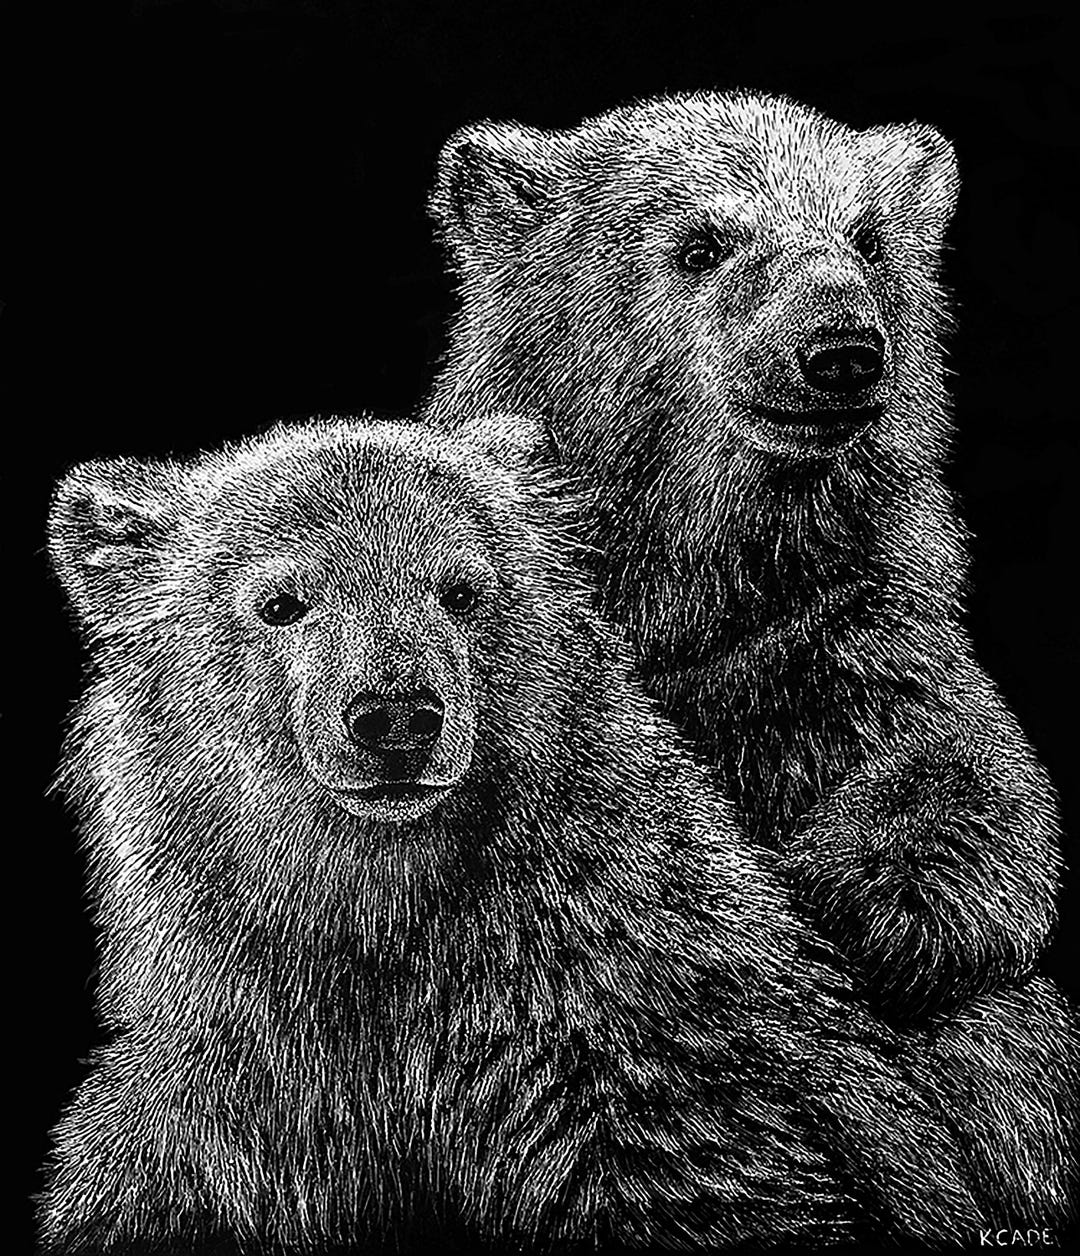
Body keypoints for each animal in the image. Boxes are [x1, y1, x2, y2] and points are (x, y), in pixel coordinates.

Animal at [423, 90, 1078, 1224]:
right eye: (703, 244)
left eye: (867, 239)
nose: (842, 345)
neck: (695, 587)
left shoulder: (848, 629)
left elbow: (978, 790)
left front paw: (852, 901)